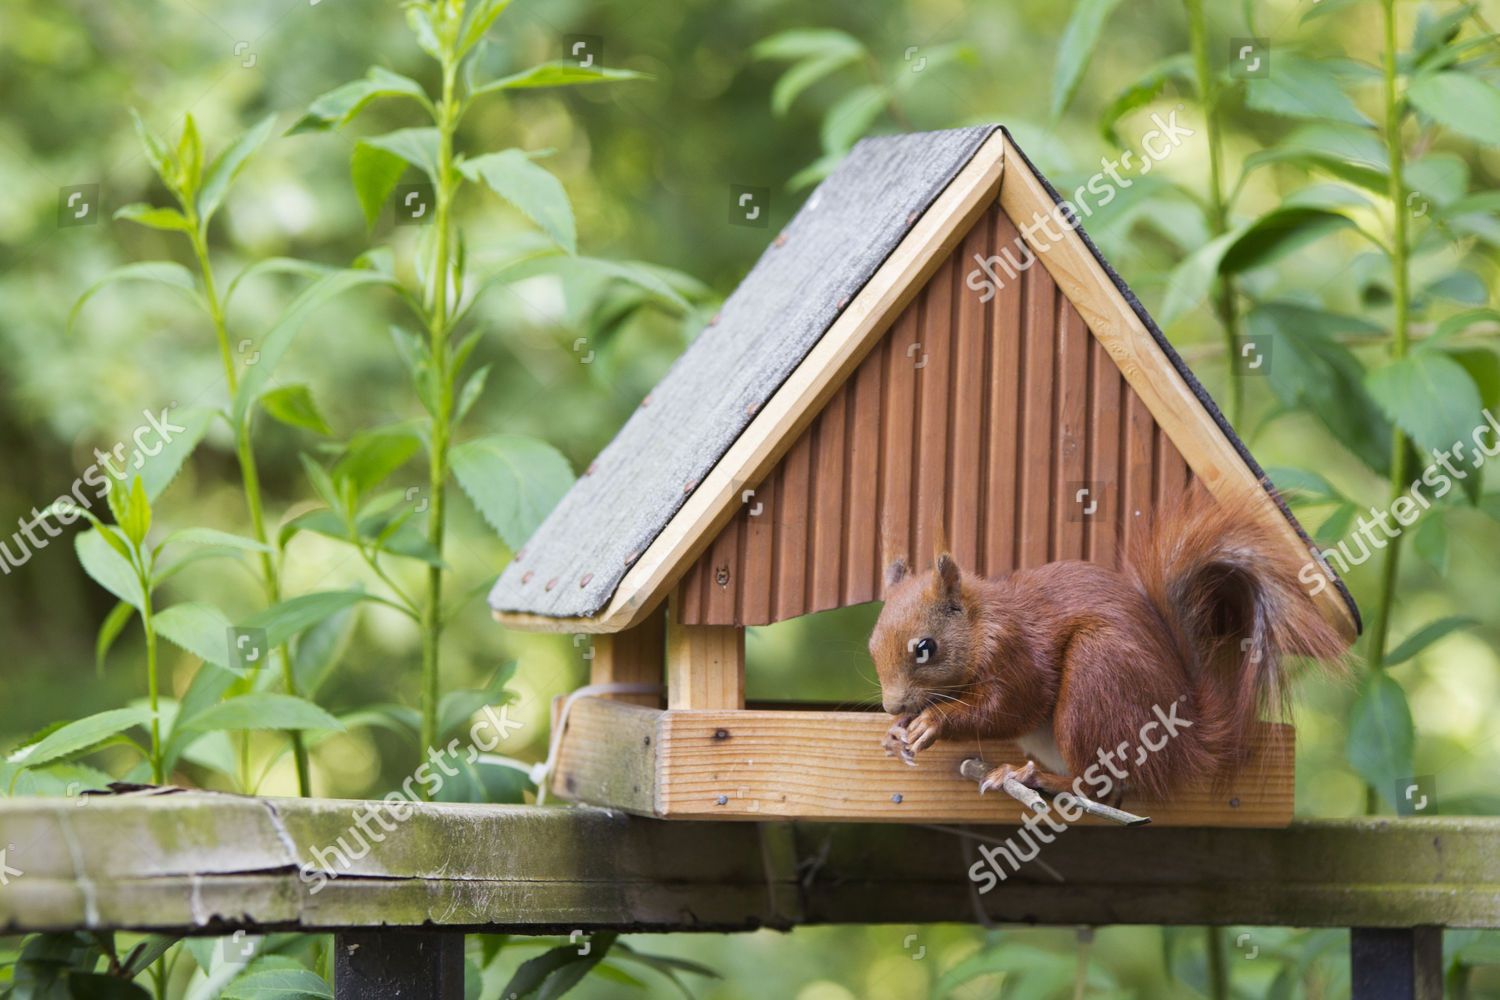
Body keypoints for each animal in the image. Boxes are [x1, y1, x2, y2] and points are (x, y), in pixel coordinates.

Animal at [868, 487, 1347, 801]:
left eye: (925, 648)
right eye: (872, 645)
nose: (892, 706)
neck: (984, 622)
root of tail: (1185, 739)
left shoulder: (1017, 651)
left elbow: (1011, 706)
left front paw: (933, 722)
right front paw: (897, 732)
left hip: (1096, 676)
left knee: (1097, 784)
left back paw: (1034, 778)